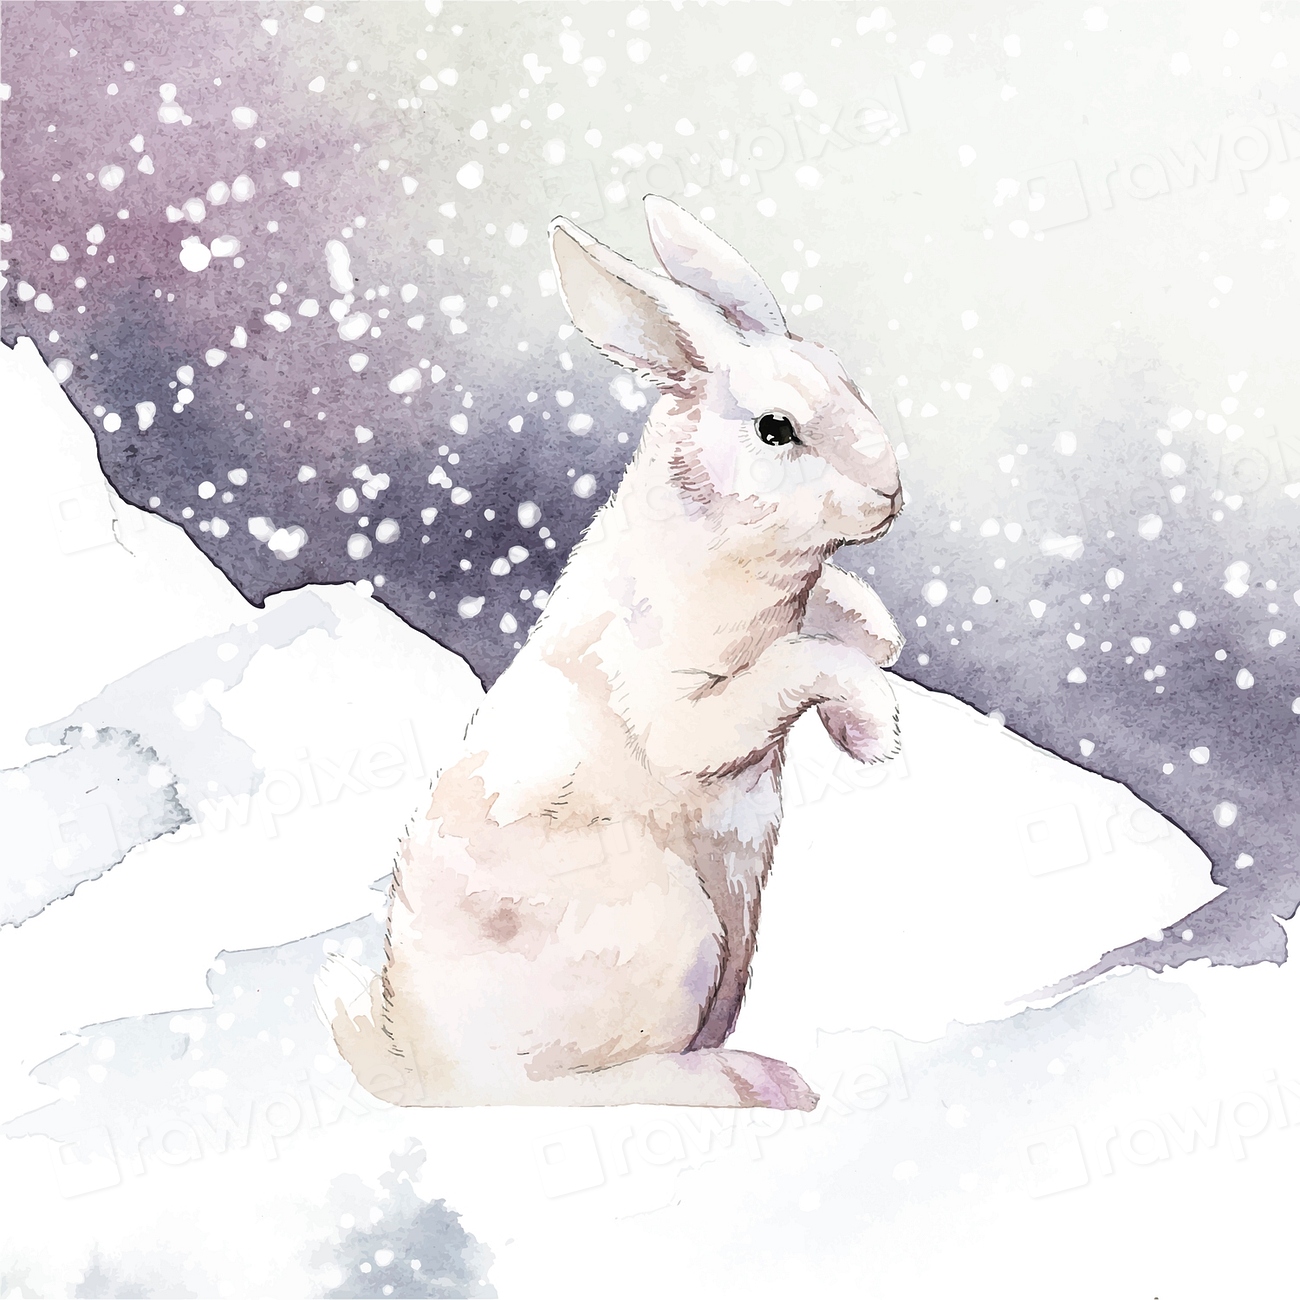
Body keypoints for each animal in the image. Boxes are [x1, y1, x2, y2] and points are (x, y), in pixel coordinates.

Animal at [318, 195, 905, 1110]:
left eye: (846, 376)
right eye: (776, 429)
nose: (891, 491)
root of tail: (433, 1076)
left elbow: (858, 624)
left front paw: (872, 664)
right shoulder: (687, 711)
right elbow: (797, 671)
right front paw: (876, 732)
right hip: (676, 927)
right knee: (591, 1088)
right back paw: (763, 1084)